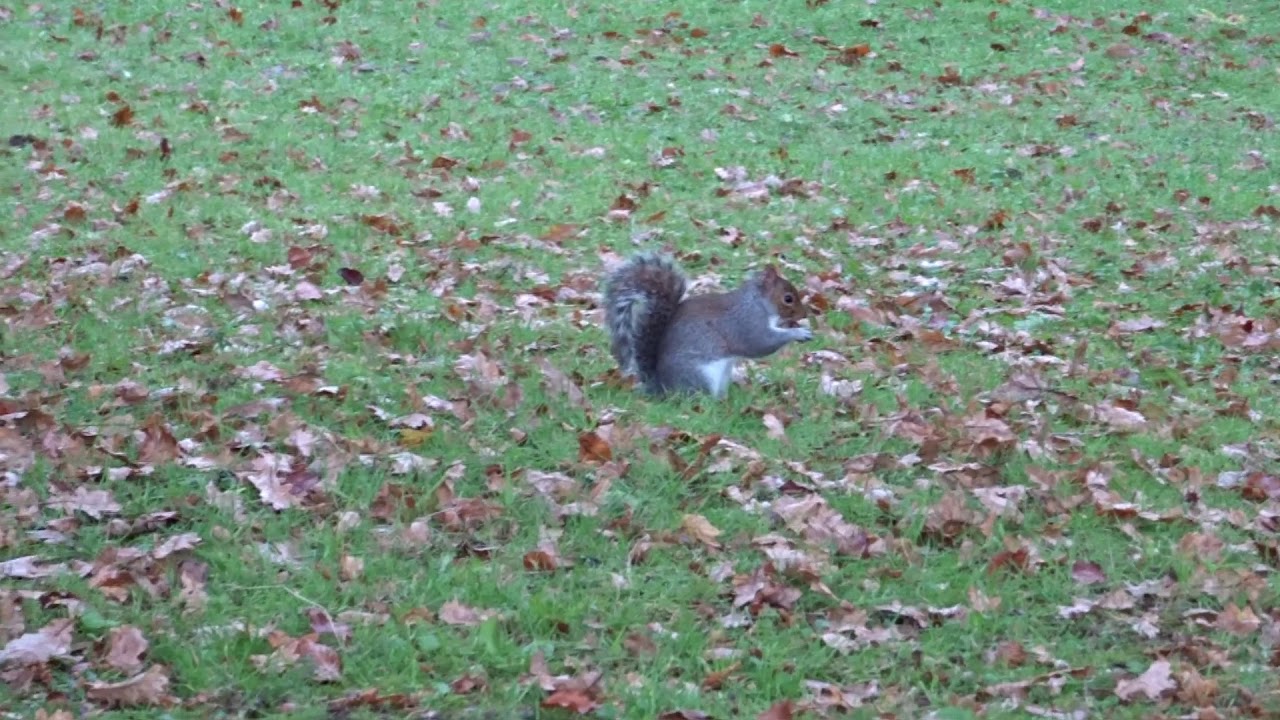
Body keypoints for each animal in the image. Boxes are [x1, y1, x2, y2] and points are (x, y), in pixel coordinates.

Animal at [602, 253, 813, 398]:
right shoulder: (746, 323)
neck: (757, 303)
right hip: (701, 374)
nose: (804, 314)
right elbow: (761, 343)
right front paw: (798, 332)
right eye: (788, 298)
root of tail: (665, 389)